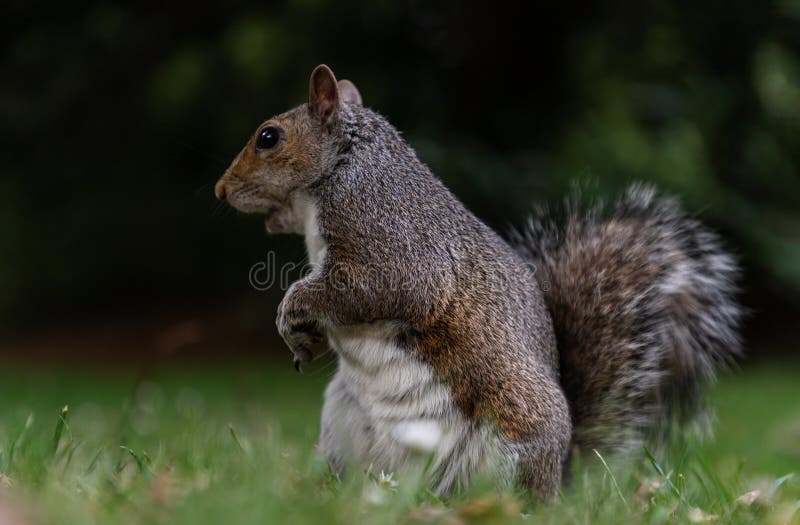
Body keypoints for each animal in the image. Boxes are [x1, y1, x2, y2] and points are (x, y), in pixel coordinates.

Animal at [214, 65, 741, 499]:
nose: (220, 190)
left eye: (269, 137)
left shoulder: (386, 234)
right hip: (343, 422)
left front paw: (291, 308)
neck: (344, 167)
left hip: (512, 441)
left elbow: (375, 289)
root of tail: (560, 479)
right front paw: (300, 335)